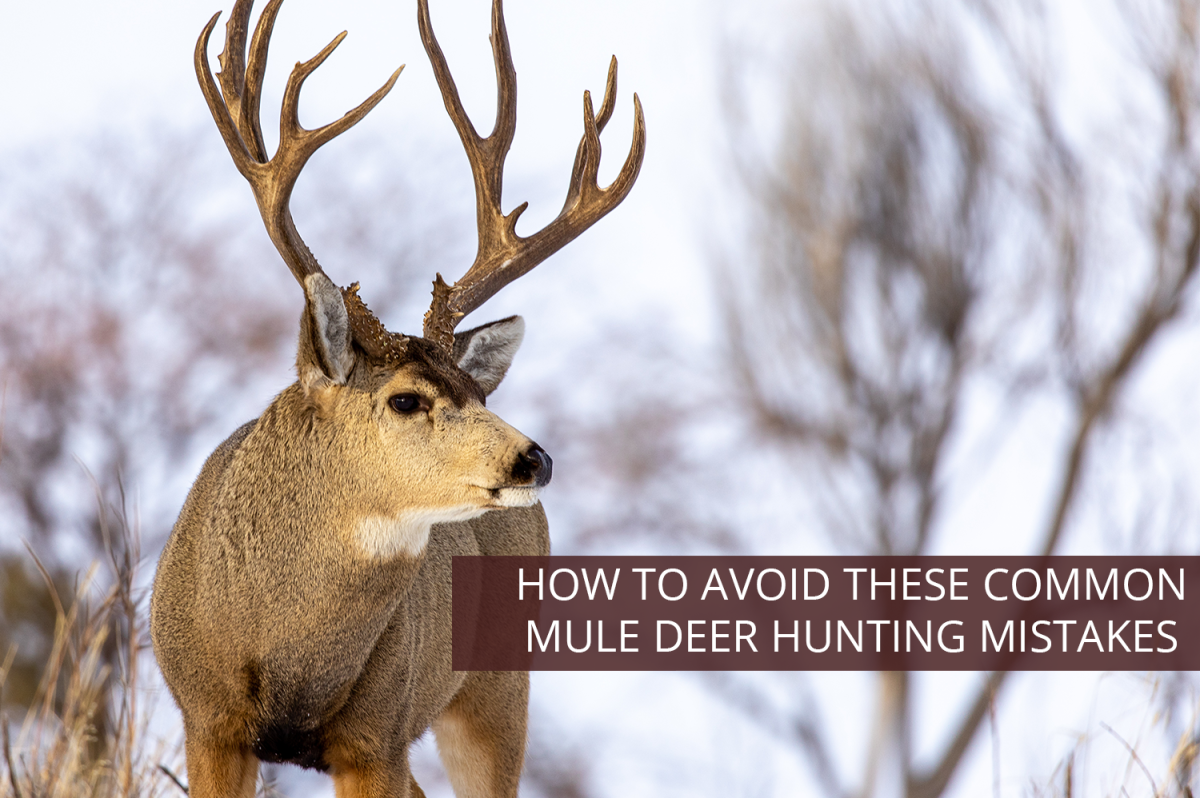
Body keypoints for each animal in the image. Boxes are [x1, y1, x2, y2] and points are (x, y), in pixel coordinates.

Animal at [148, 0, 644, 795]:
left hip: (498, 686)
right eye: (406, 400)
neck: (288, 656)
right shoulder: (207, 719)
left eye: (475, 389)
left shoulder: (378, 733)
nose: (533, 459)